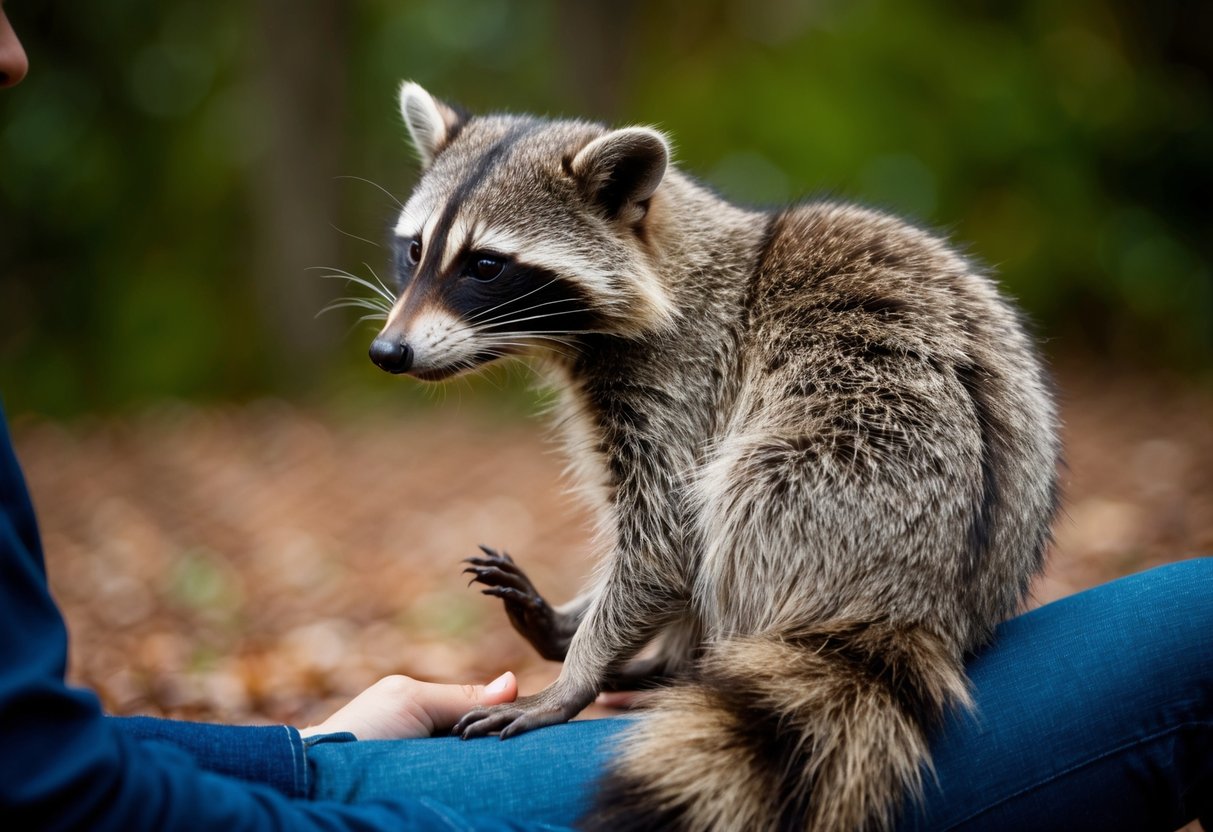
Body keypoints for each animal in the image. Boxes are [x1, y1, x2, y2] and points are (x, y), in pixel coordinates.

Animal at [367, 82, 1061, 831]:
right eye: (415, 249)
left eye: (486, 264)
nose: (388, 352)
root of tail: (924, 605)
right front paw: (579, 619)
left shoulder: (689, 377)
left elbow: (666, 542)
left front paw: (580, 663)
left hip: (848, 467)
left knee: (742, 499)